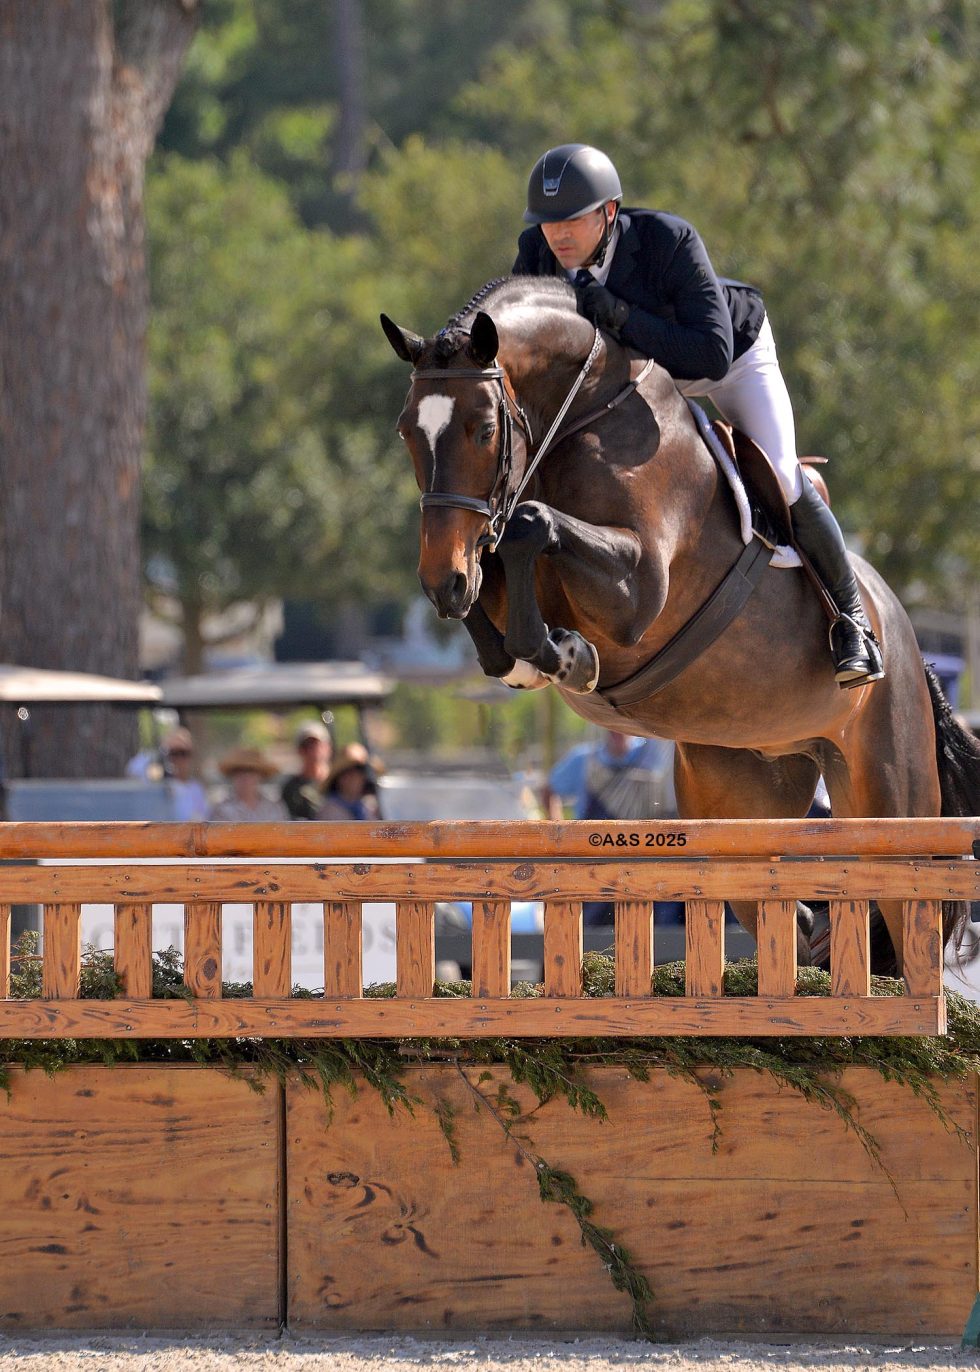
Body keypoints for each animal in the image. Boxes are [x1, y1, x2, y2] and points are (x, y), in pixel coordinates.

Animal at [380, 275, 980, 974]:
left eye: (480, 429)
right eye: (407, 432)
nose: (440, 582)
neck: (584, 415)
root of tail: (906, 638)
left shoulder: (640, 589)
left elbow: (531, 522)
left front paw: (568, 657)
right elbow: (503, 574)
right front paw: (534, 654)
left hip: (889, 796)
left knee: (906, 922)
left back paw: (855, 647)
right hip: (743, 792)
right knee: (785, 911)